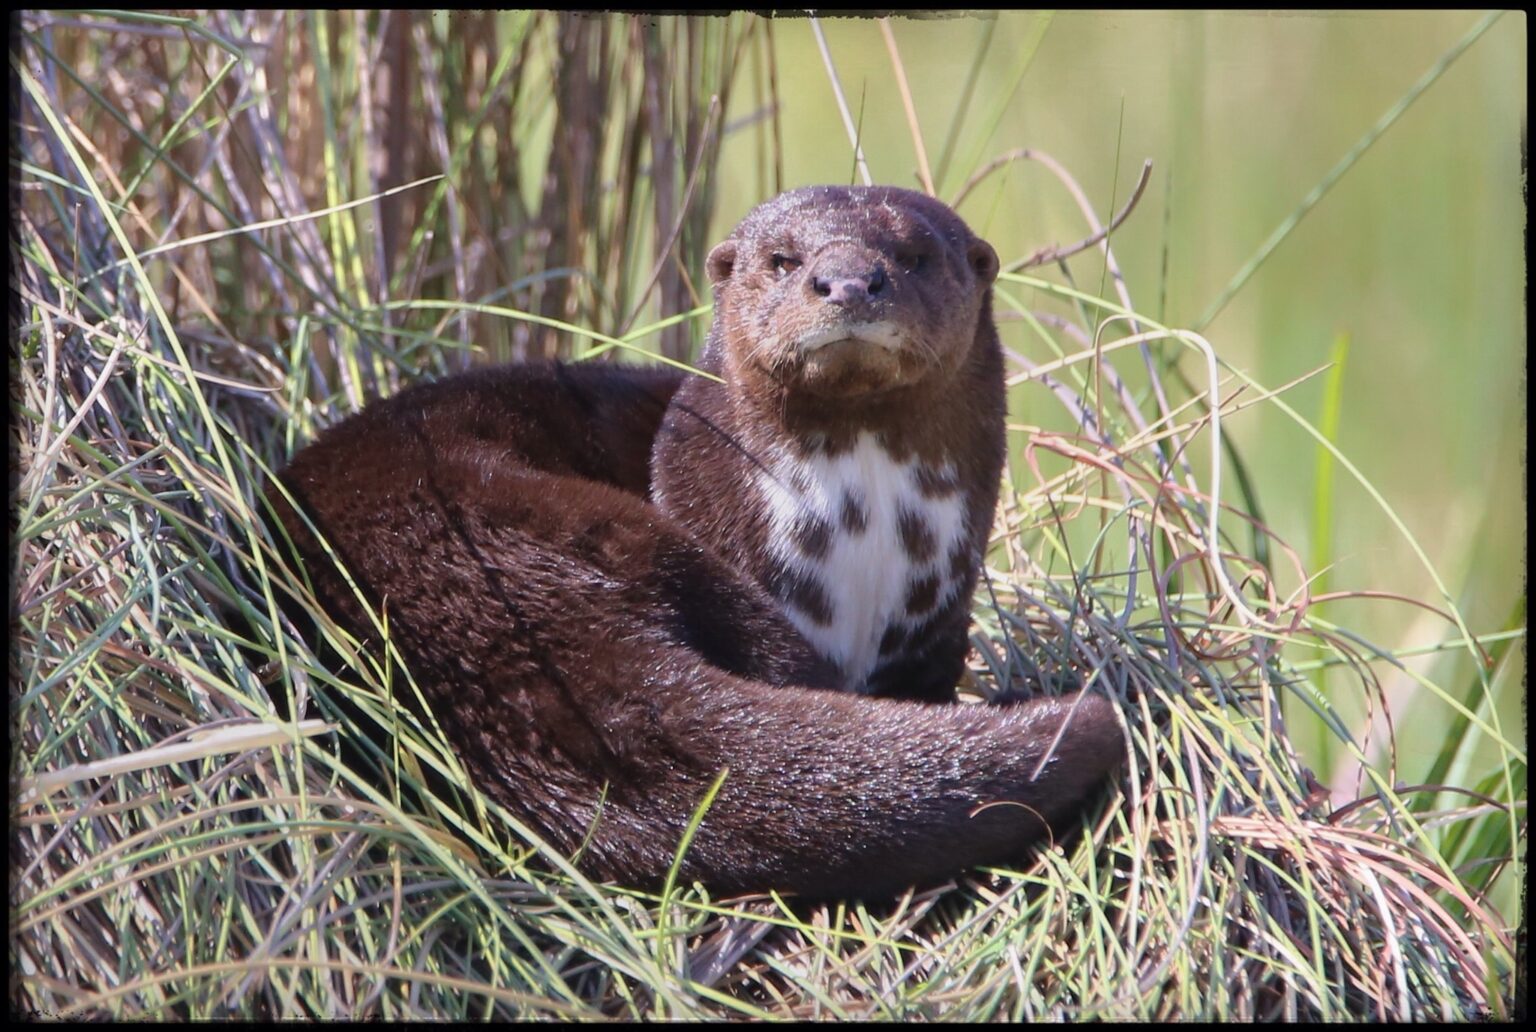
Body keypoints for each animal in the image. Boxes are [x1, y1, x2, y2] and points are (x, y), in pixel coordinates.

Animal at [268, 185, 1121, 900]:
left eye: (914, 255)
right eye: (783, 259)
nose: (848, 282)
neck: (866, 541)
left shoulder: (939, 615)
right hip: (581, 525)